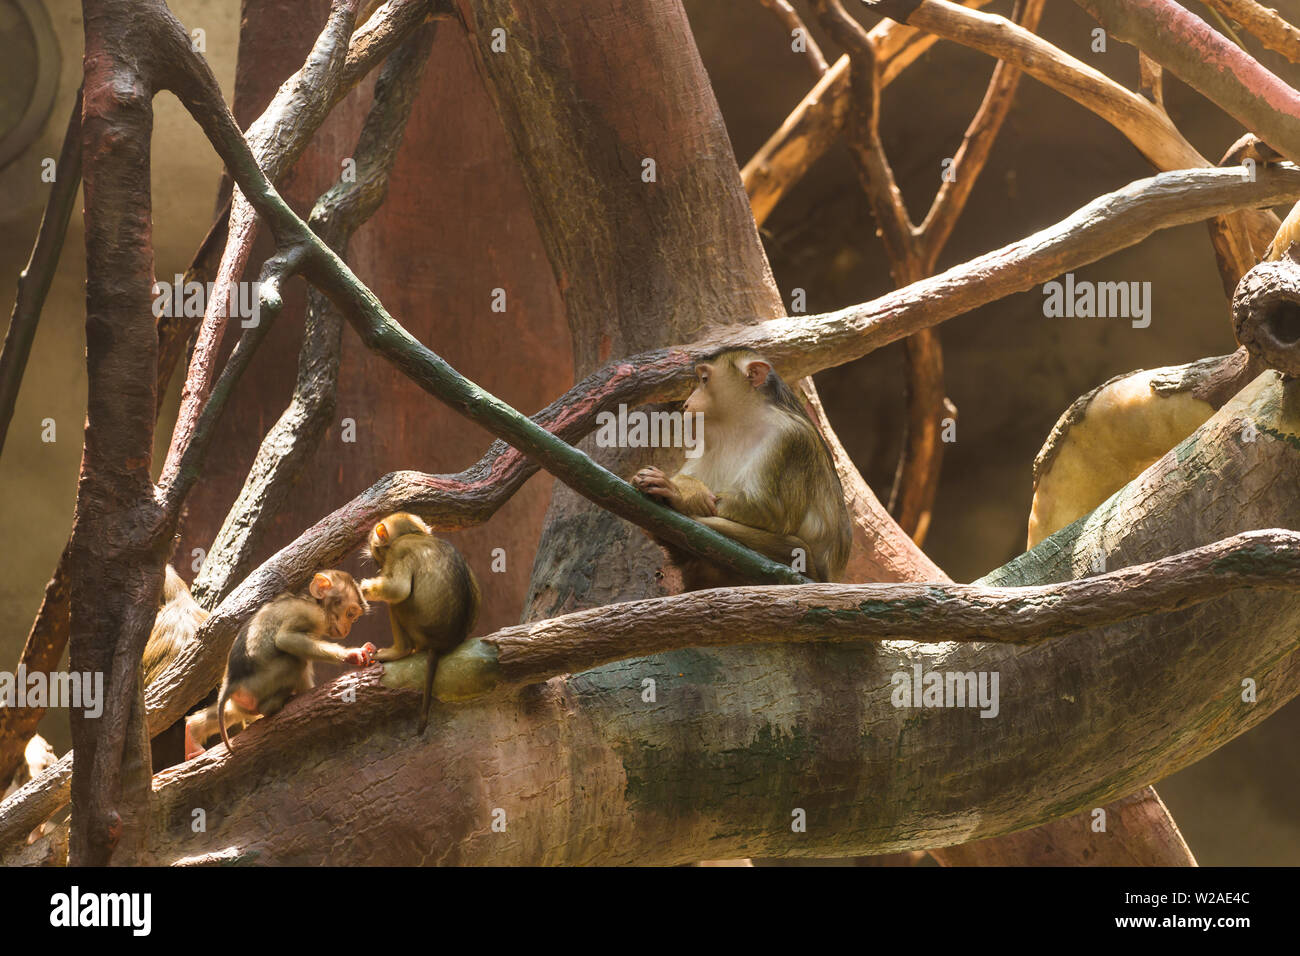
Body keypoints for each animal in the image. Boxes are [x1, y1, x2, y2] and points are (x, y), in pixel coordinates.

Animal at [186, 570, 375, 754]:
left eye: (354, 618)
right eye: (350, 614)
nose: (348, 628)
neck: (313, 602)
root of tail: (232, 683)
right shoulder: (311, 614)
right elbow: (285, 640)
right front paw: (351, 654)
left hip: (241, 702)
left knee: (231, 712)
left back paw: (192, 734)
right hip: (258, 685)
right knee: (295, 660)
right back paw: (273, 706)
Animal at [359, 513, 481, 733]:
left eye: (376, 549)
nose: (378, 566)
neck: (415, 534)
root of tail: (443, 644)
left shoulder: (399, 550)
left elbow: (398, 591)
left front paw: (362, 588)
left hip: (417, 626)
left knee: (397, 603)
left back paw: (401, 650)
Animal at [630, 348, 852, 590]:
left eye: (704, 379)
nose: (687, 403)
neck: (742, 425)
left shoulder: (789, 439)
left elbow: (769, 511)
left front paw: (680, 495)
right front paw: (682, 486)